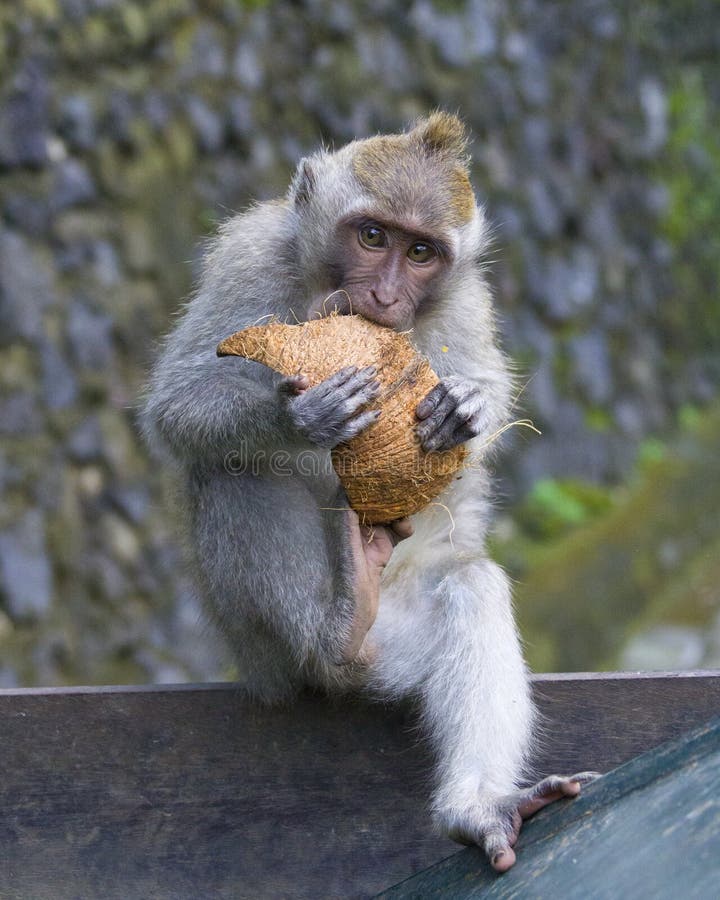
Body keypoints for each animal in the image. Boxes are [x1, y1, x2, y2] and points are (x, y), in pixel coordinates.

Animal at [141, 112, 595, 872]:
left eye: (421, 252)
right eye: (373, 236)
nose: (383, 296)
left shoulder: (466, 297)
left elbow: (486, 396)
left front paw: (467, 410)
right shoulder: (249, 257)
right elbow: (176, 409)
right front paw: (301, 416)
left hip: (407, 643)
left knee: (469, 585)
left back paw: (477, 803)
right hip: (268, 657)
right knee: (233, 471)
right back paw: (338, 631)